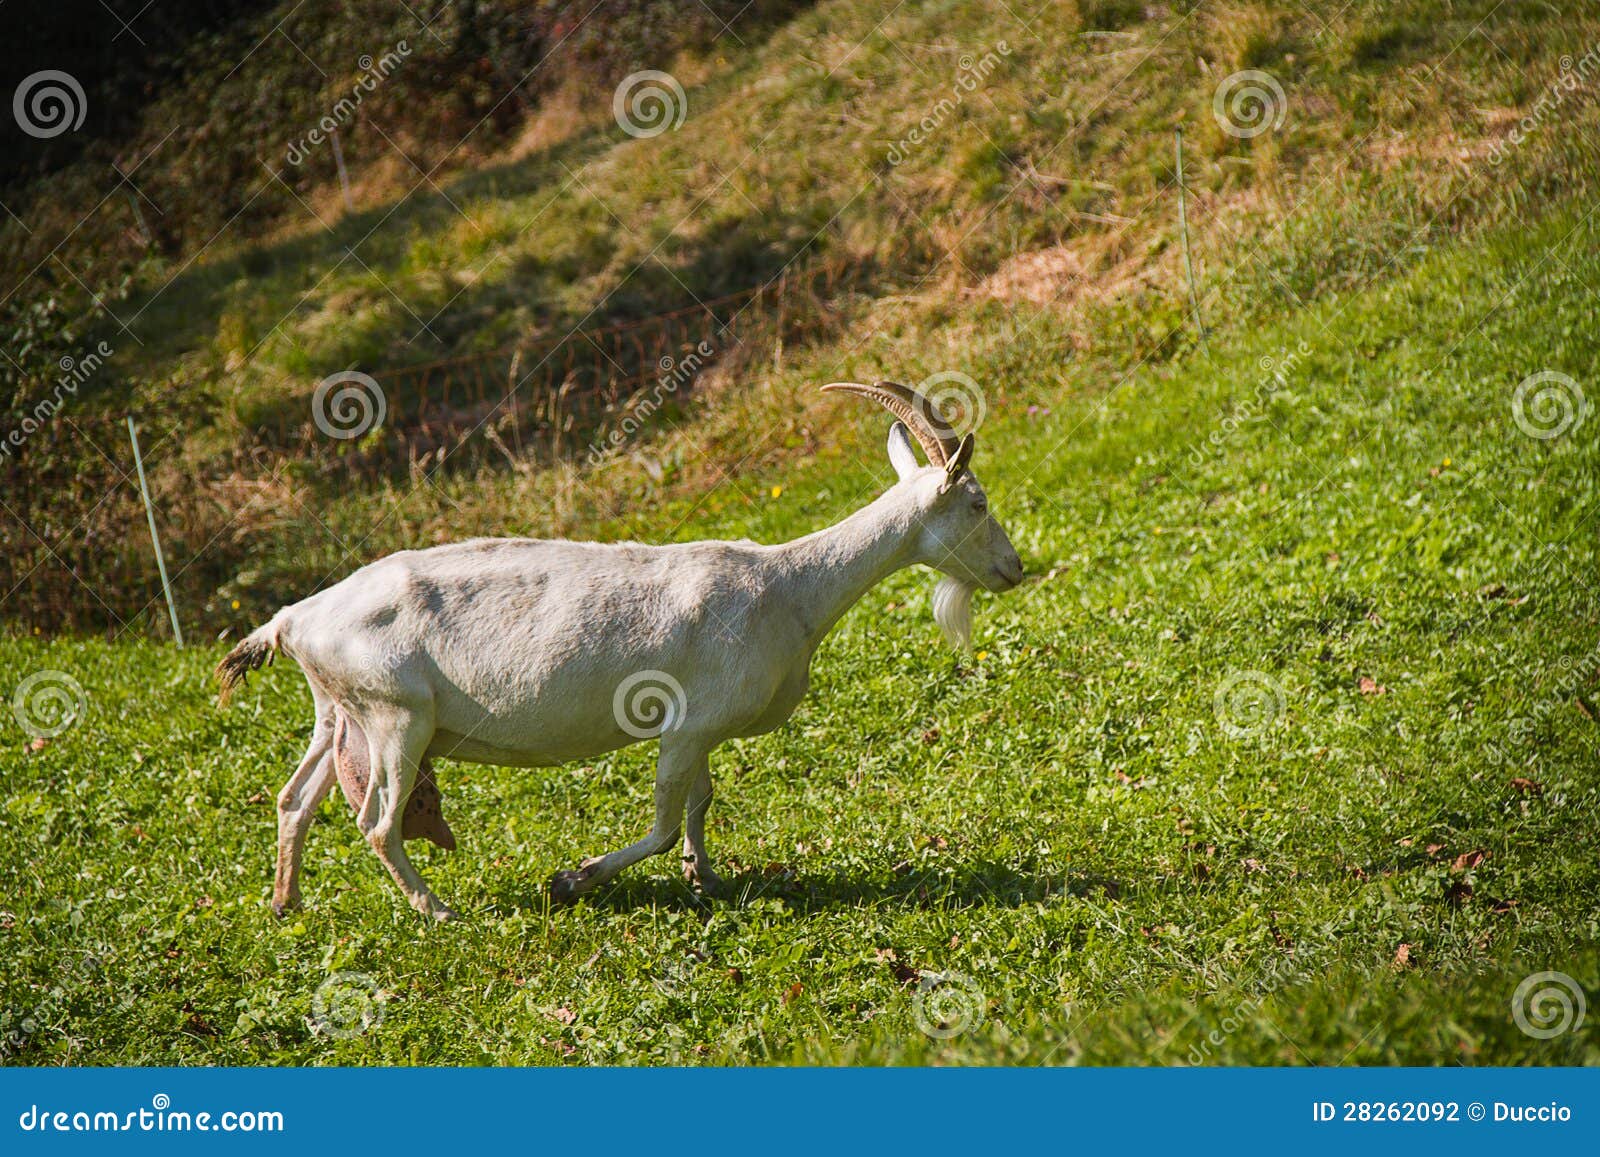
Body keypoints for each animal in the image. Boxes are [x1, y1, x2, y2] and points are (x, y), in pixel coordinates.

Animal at [216, 381, 1024, 920]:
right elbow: (665, 823)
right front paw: (571, 879)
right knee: (377, 823)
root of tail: (294, 618)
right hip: (396, 716)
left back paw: (287, 904)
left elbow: (700, 802)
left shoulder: (703, 731)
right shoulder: (687, 724)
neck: (787, 584)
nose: (1014, 570)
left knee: (295, 799)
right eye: (978, 502)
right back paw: (439, 911)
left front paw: (707, 879)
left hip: (339, 711)